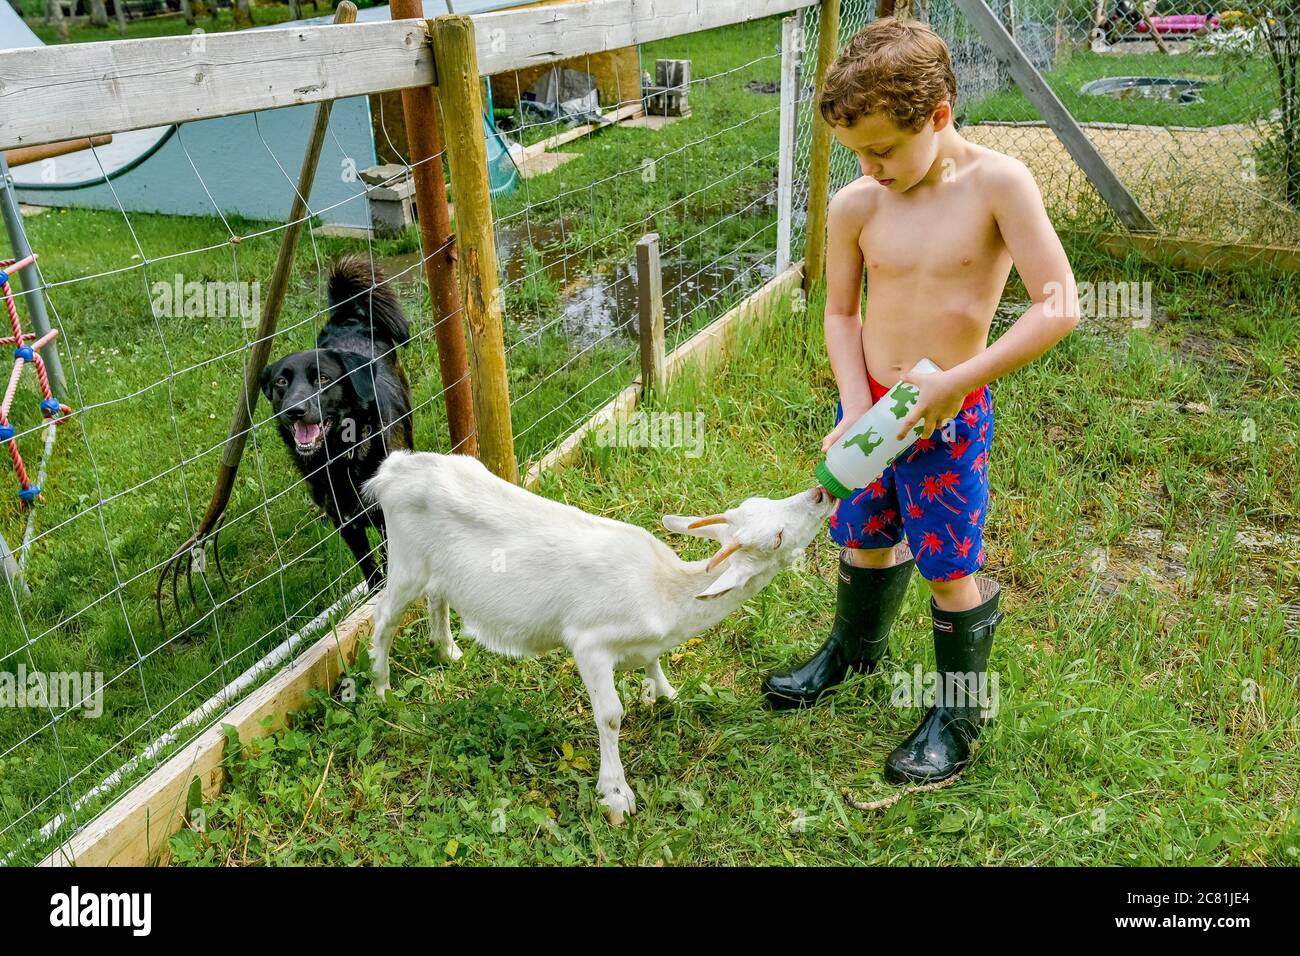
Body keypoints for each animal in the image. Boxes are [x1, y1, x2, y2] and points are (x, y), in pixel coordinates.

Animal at [362, 450, 834, 823]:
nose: (821, 493)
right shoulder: (589, 643)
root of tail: (392, 471)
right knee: (384, 618)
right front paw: (616, 794)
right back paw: (382, 688)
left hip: (436, 568)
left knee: (437, 595)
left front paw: (666, 693)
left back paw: (447, 650)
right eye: (776, 538)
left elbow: (653, 662)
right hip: (404, 562)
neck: (665, 591)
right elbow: (610, 715)